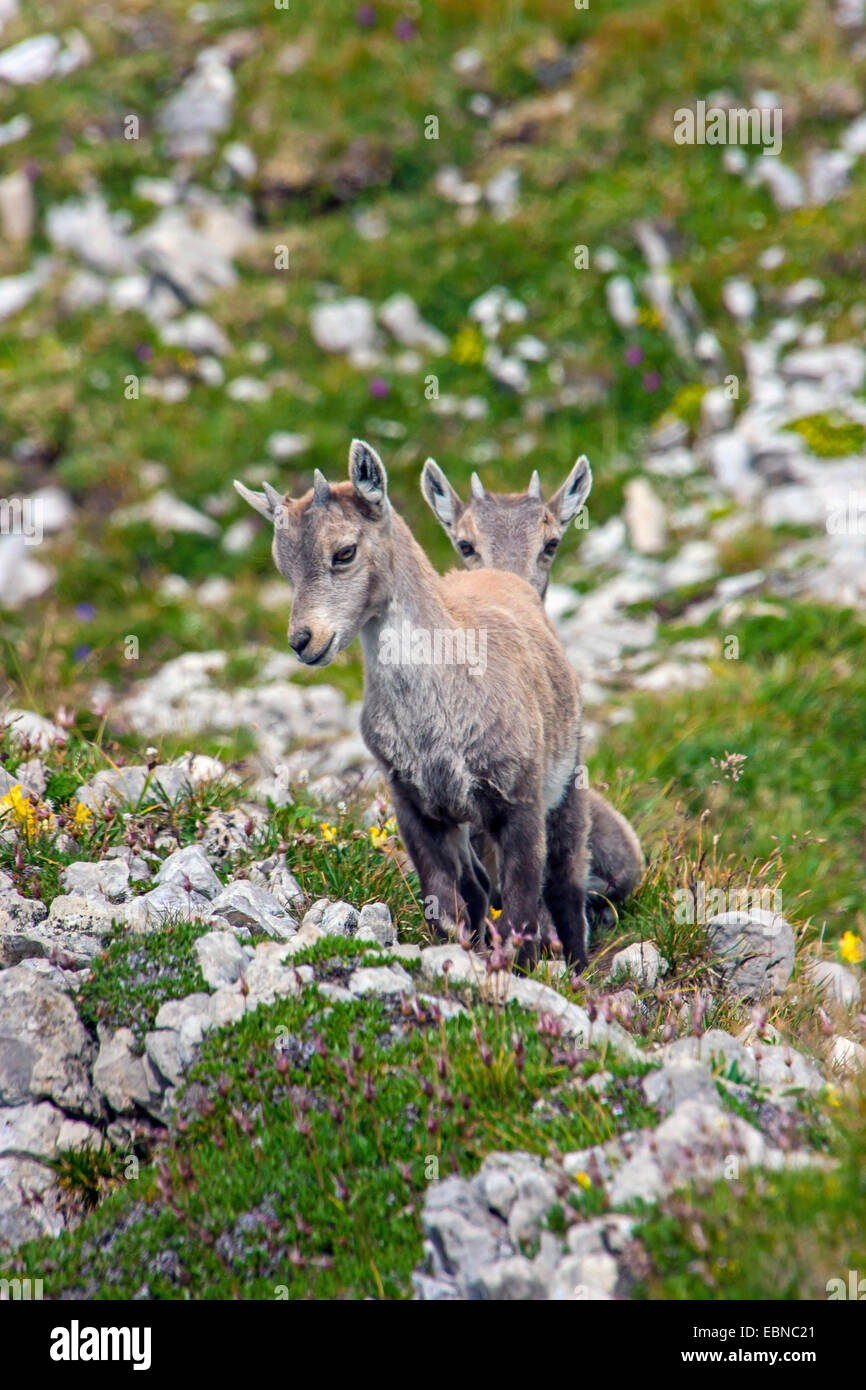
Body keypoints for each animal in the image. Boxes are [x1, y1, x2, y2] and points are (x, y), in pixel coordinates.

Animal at [235, 439, 591, 967]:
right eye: (283, 566)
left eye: (344, 551)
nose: (303, 640)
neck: (438, 706)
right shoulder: (415, 806)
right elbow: (446, 907)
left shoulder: (519, 802)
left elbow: (523, 914)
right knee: (478, 886)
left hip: (567, 782)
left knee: (566, 885)